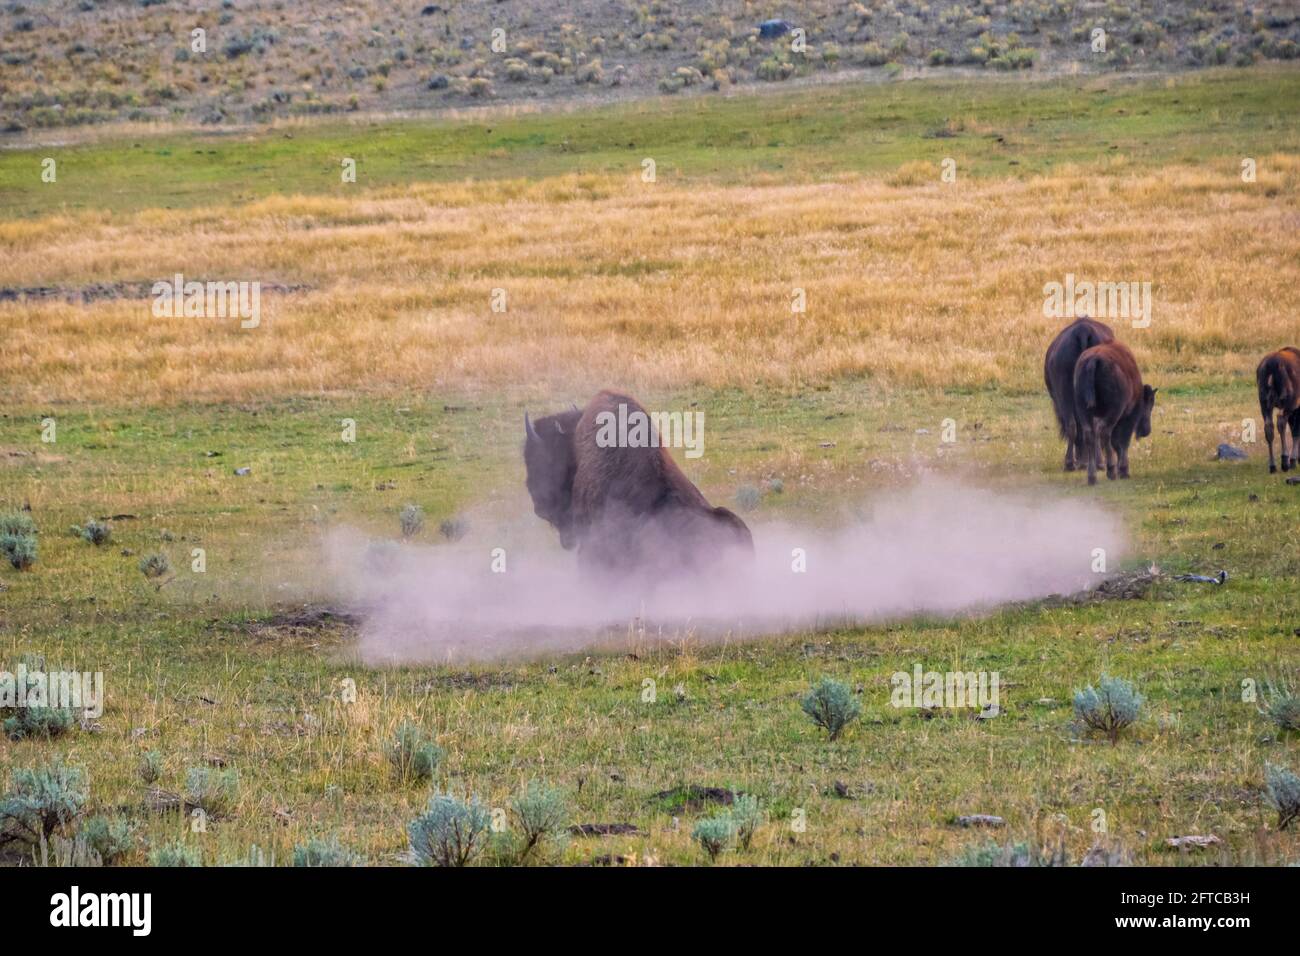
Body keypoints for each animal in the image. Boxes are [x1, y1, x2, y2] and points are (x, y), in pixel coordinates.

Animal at [1044, 317, 1115, 472]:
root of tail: (1083, 330)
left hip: (1064, 394)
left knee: (1073, 425)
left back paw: (1071, 463)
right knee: (1091, 426)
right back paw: (1097, 462)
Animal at [1073, 341, 1157, 485]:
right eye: (1150, 403)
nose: (1147, 431)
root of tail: (1094, 360)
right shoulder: (1128, 417)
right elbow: (1122, 442)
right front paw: (1124, 470)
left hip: (1083, 411)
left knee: (1090, 435)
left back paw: (1092, 477)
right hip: (1114, 413)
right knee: (1105, 433)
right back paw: (1111, 471)